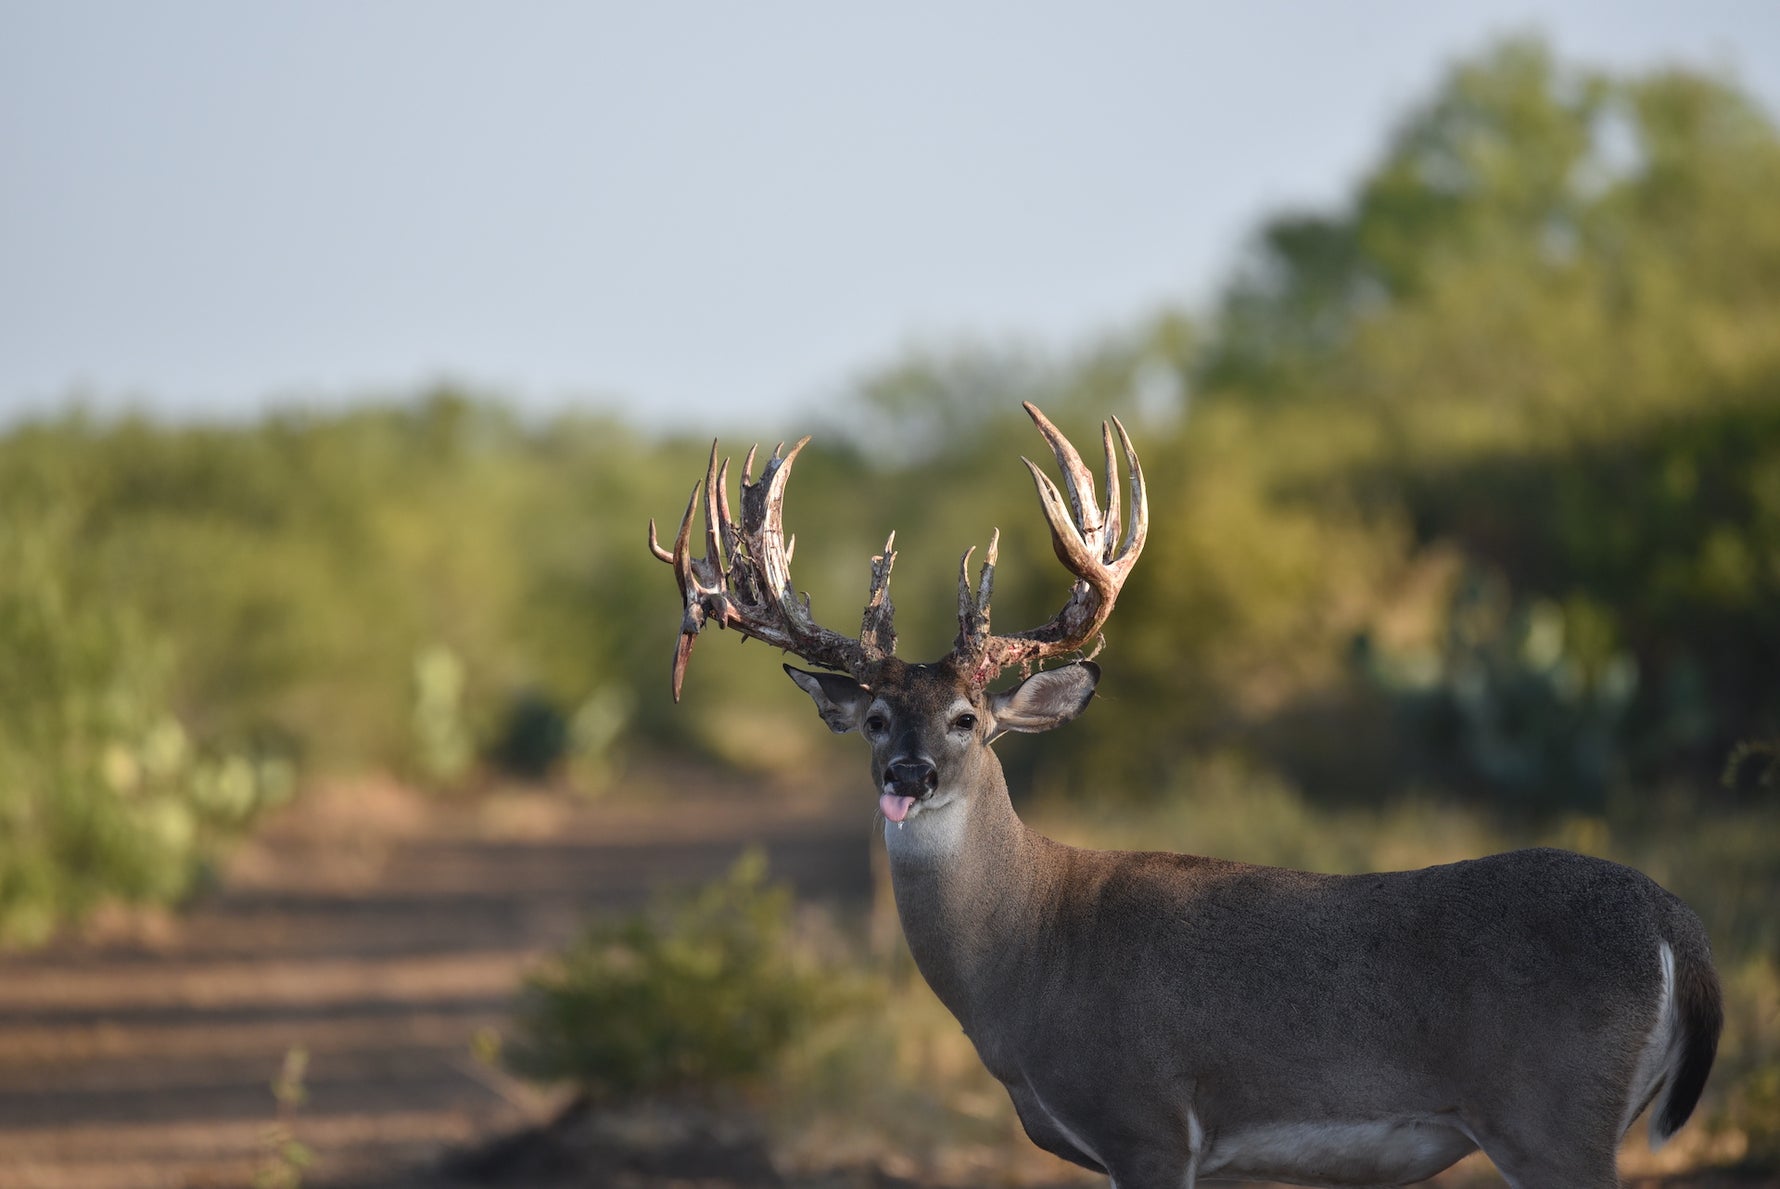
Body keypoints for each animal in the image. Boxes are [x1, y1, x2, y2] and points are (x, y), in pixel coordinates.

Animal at [648, 403, 1722, 1188]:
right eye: (875, 719)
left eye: (968, 718)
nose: (908, 776)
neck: (1029, 953)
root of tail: (1677, 923)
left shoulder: (1147, 1119)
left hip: (1554, 1114)